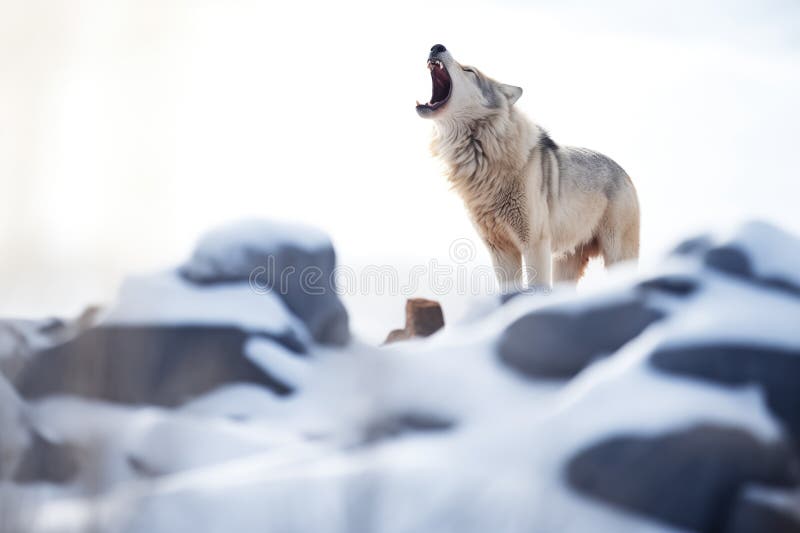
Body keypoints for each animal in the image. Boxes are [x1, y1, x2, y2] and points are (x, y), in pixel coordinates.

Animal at [417, 44, 640, 289]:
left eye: (469, 70)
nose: (437, 46)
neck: (482, 156)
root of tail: (625, 173)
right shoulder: (501, 251)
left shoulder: (534, 244)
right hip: (564, 266)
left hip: (617, 258)